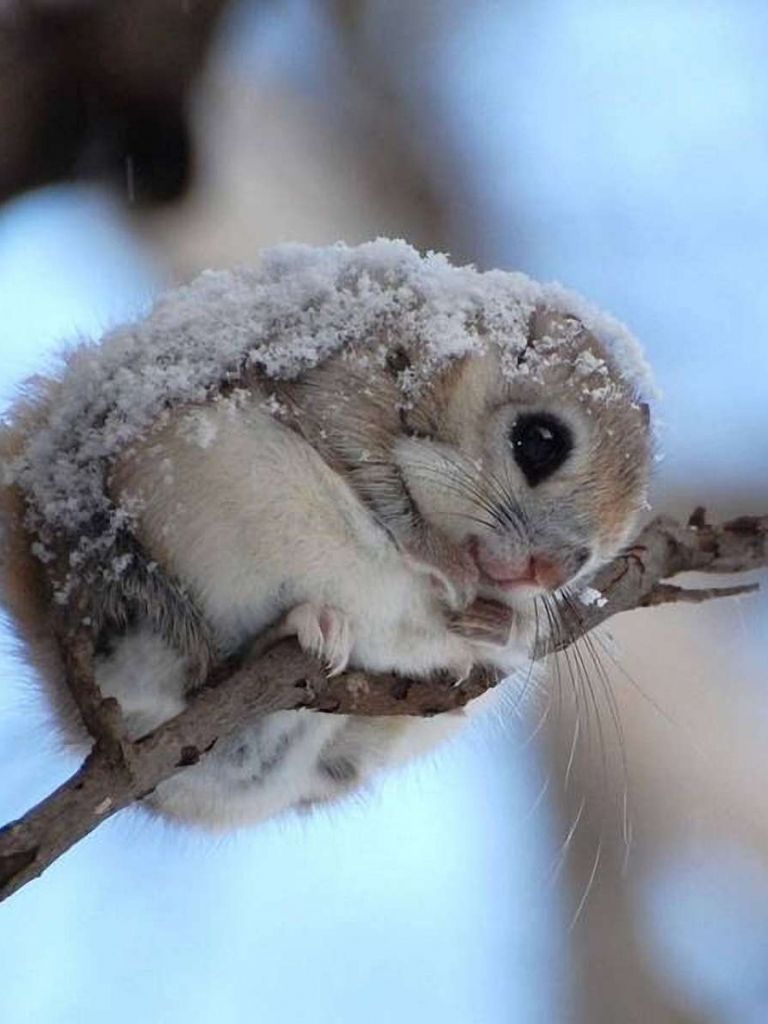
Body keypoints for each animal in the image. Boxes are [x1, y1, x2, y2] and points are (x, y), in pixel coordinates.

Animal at [0, 241, 653, 829]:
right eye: (539, 441)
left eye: (602, 549)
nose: (552, 571)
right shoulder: (343, 380)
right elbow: (375, 473)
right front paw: (444, 562)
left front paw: (507, 622)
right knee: (186, 675)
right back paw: (297, 626)